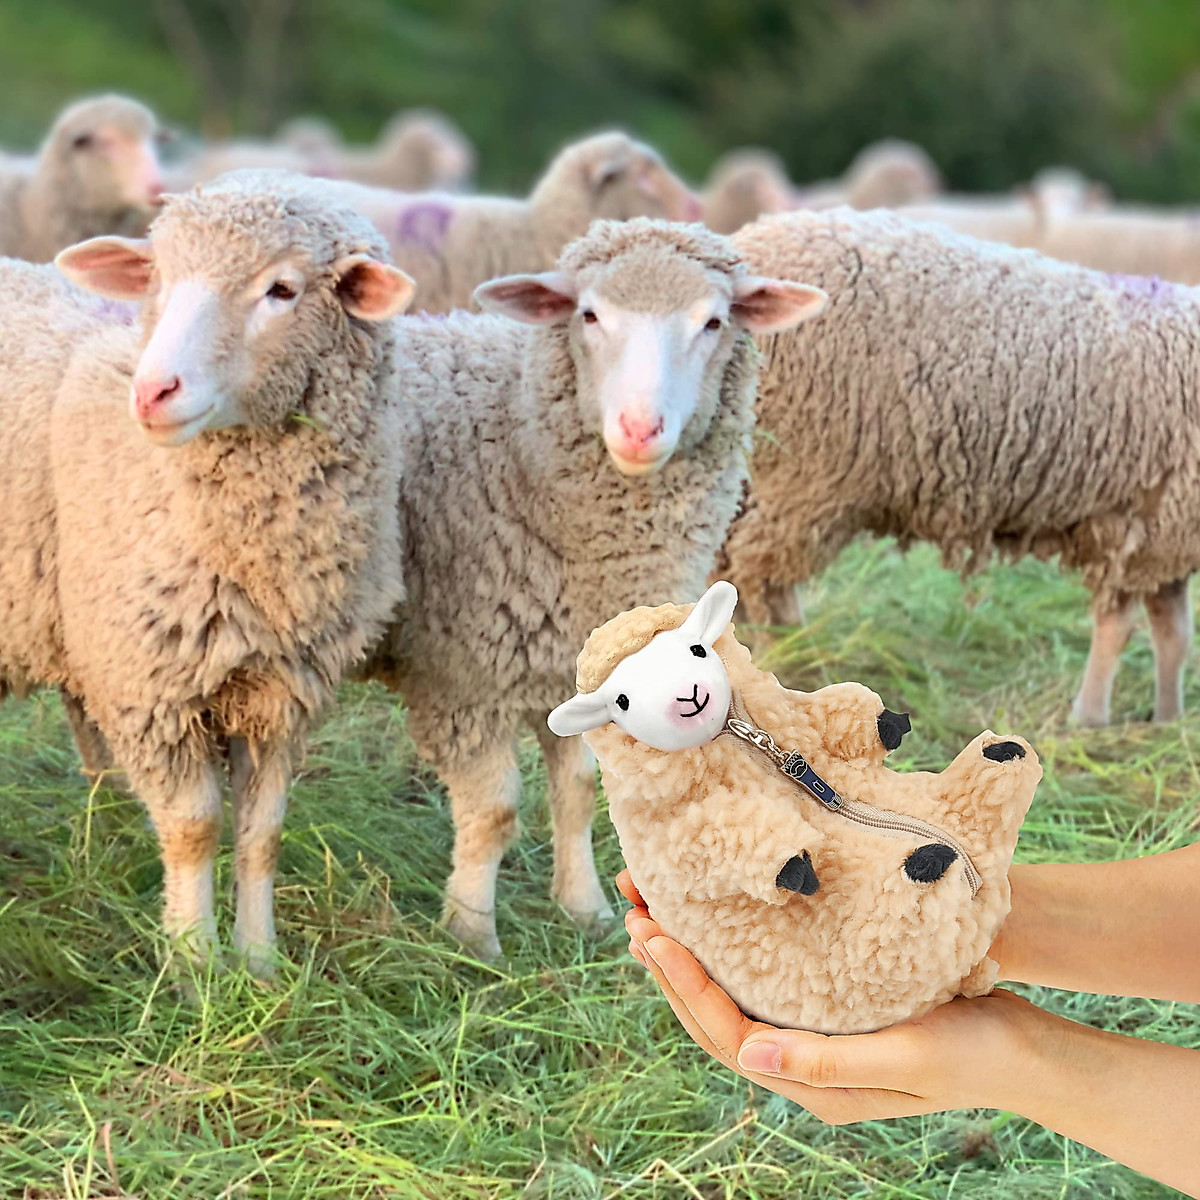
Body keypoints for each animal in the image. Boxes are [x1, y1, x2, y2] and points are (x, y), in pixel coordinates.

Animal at [2, 170, 412, 974]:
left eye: (282, 289)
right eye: (156, 278)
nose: (152, 391)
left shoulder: (283, 692)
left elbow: (262, 835)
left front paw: (260, 964)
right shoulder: (150, 687)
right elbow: (194, 830)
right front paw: (194, 965)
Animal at [359, 218, 828, 958]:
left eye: (714, 321)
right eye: (588, 314)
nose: (639, 429)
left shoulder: (577, 664)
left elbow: (578, 791)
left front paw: (583, 909)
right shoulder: (460, 678)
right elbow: (493, 812)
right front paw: (471, 933)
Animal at [718, 206, 1200, 727]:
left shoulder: (1165, 535)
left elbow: (1173, 635)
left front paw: (1169, 719)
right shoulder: (1135, 525)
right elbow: (1119, 629)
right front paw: (1090, 718)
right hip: (804, 473)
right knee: (760, 576)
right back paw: (782, 664)